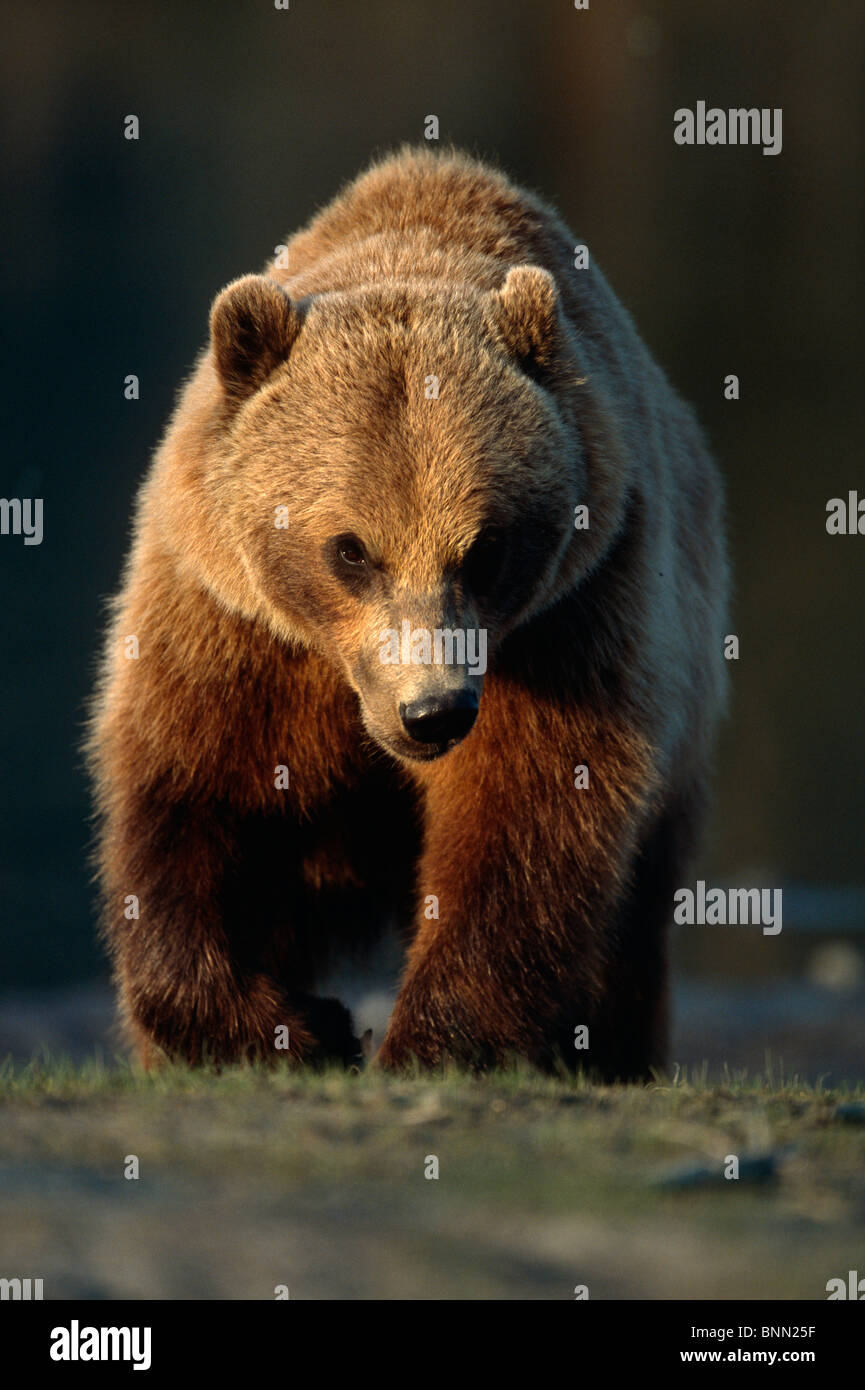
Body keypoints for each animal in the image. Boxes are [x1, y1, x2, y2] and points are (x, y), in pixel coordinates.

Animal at [87, 146, 728, 1080]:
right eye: (350, 549)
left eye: (484, 547)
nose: (432, 711)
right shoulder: (231, 627)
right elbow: (193, 797)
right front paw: (285, 1025)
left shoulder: (576, 615)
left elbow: (526, 815)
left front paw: (432, 1039)